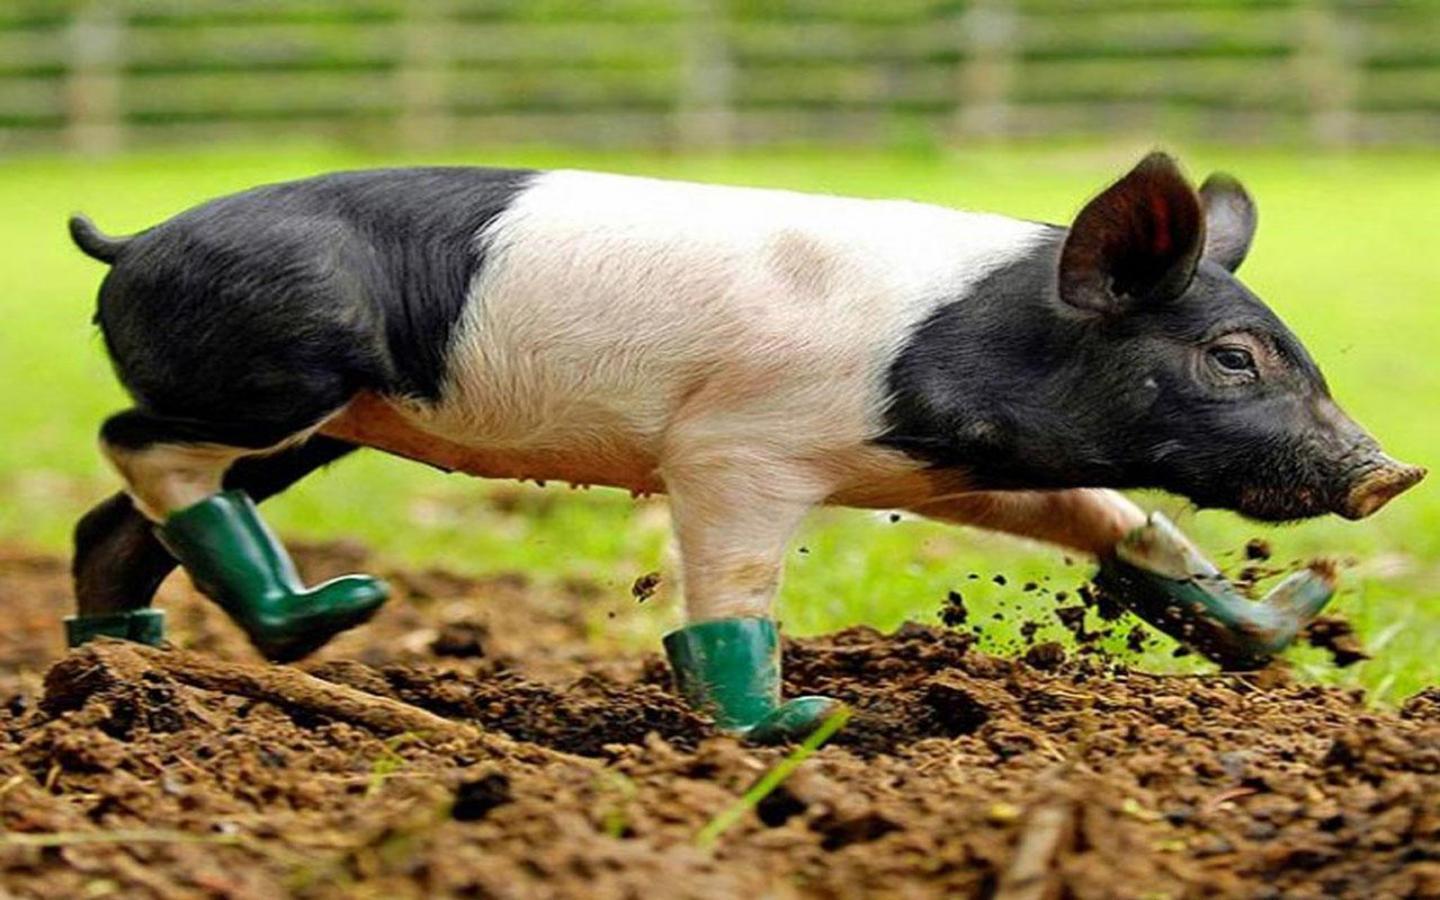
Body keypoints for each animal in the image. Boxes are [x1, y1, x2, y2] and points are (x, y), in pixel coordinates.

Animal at [66, 153, 1423, 741]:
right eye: (1233, 358)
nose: (1390, 474)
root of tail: (128, 240)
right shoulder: (737, 451)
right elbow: (733, 596)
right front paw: (800, 724)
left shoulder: (962, 468)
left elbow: (1118, 520)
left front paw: (1292, 619)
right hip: (281, 374)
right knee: (133, 442)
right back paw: (329, 618)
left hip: (316, 422)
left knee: (117, 516)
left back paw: (142, 661)